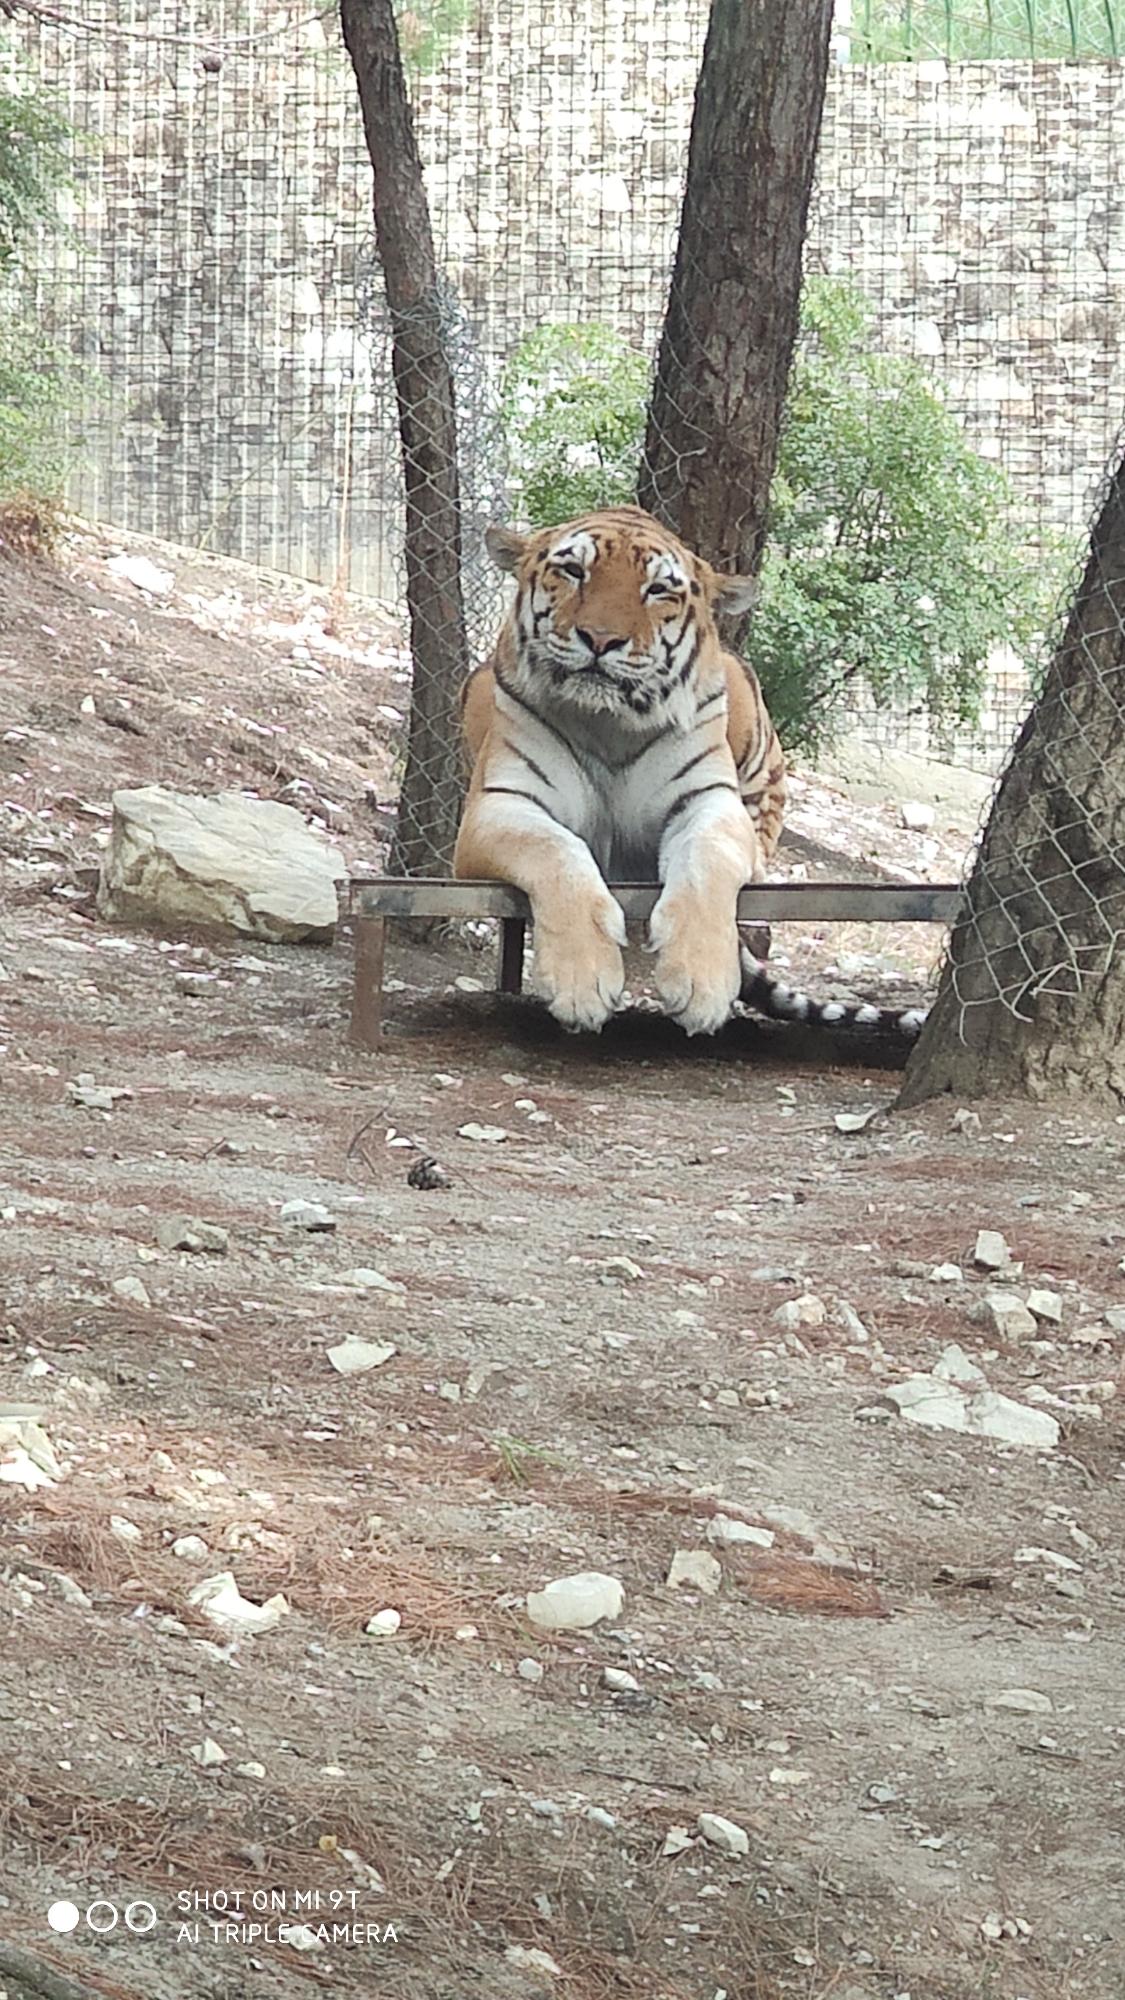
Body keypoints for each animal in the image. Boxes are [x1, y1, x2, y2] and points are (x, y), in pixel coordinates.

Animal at [450, 504, 924, 1048]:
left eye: (658, 590)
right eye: (573, 571)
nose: (600, 639)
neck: (609, 723)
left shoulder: (709, 801)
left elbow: (706, 860)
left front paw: (701, 983)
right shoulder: (500, 802)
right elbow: (556, 851)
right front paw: (581, 983)